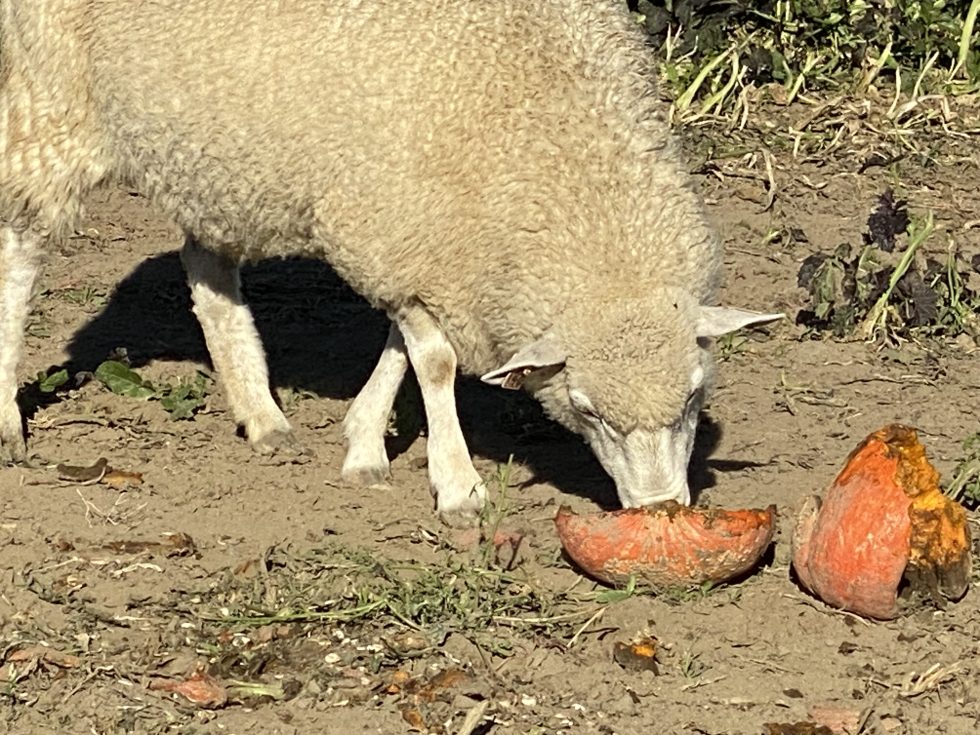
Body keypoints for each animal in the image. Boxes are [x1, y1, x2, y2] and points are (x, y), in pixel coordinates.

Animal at [0, 0, 780, 525]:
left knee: (208, 267)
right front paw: (457, 483)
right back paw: (8, 420)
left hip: (219, 151)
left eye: (694, 398)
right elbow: (433, 360)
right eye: (586, 410)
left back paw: (261, 412)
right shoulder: (391, 222)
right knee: (18, 252)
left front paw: (364, 441)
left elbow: (405, 346)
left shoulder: (416, 238)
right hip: (53, 94)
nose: (660, 509)